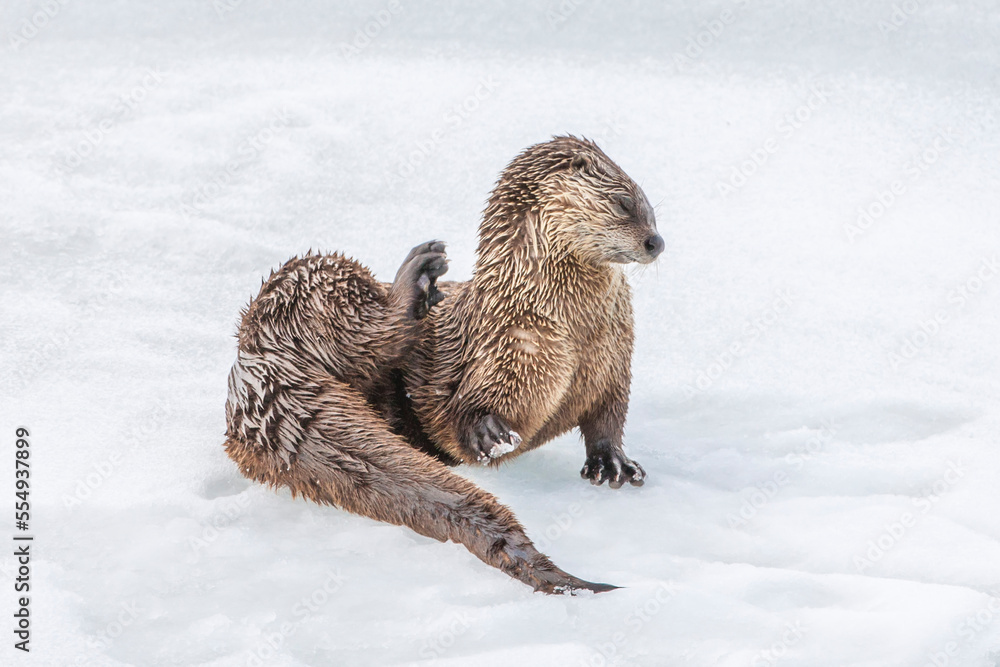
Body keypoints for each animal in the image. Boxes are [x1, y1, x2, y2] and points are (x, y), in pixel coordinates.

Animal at [224, 136, 662, 593]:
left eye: (651, 207)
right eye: (623, 204)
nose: (657, 242)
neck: (570, 332)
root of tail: (253, 361)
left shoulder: (614, 360)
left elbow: (607, 417)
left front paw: (614, 464)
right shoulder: (497, 347)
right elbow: (460, 413)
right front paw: (487, 433)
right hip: (313, 284)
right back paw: (416, 276)